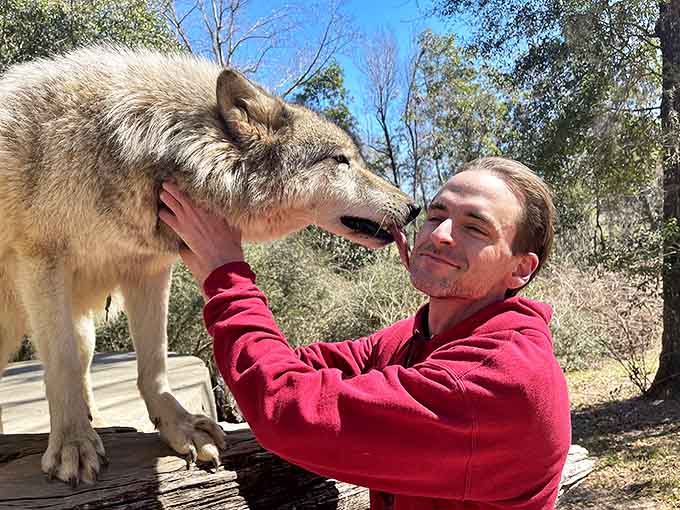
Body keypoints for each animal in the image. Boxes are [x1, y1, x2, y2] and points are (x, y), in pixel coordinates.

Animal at [0, 45, 419, 486]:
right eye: (341, 160)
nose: (413, 207)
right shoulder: (40, 259)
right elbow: (61, 364)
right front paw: (73, 443)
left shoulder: (148, 268)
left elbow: (154, 363)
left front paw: (180, 425)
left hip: (81, 324)